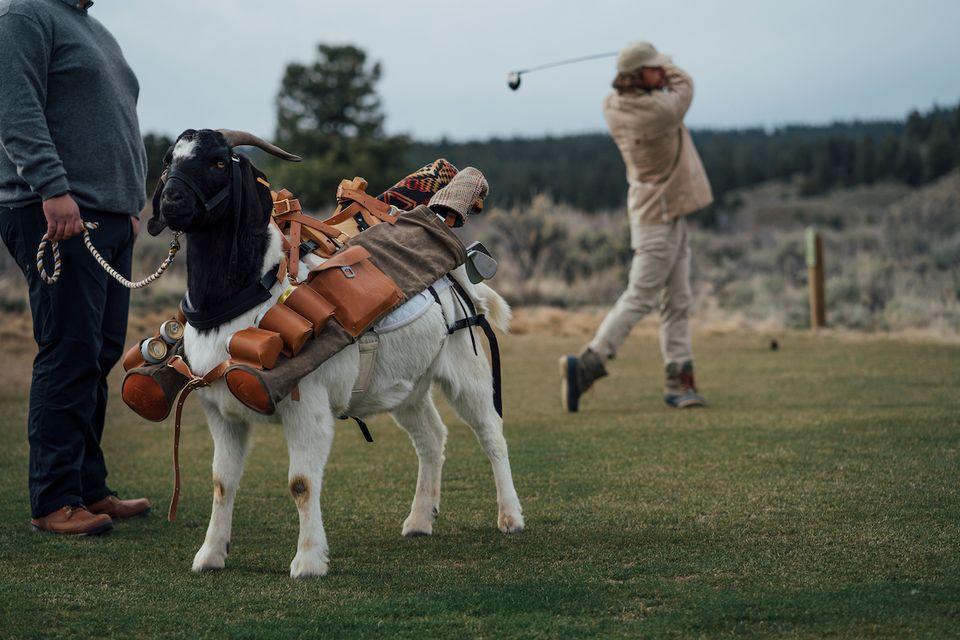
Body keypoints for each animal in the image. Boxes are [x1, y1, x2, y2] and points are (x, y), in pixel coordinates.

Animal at [148, 129, 524, 578]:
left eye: (219, 162)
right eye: (169, 159)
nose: (171, 200)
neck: (248, 294)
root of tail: (462, 279)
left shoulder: (306, 407)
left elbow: (301, 483)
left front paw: (309, 561)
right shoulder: (220, 412)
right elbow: (223, 482)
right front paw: (210, 555)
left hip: (466, 368)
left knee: (491, 434)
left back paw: (510, 517)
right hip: (408, 387)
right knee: (431, 438)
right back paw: (419, 520)